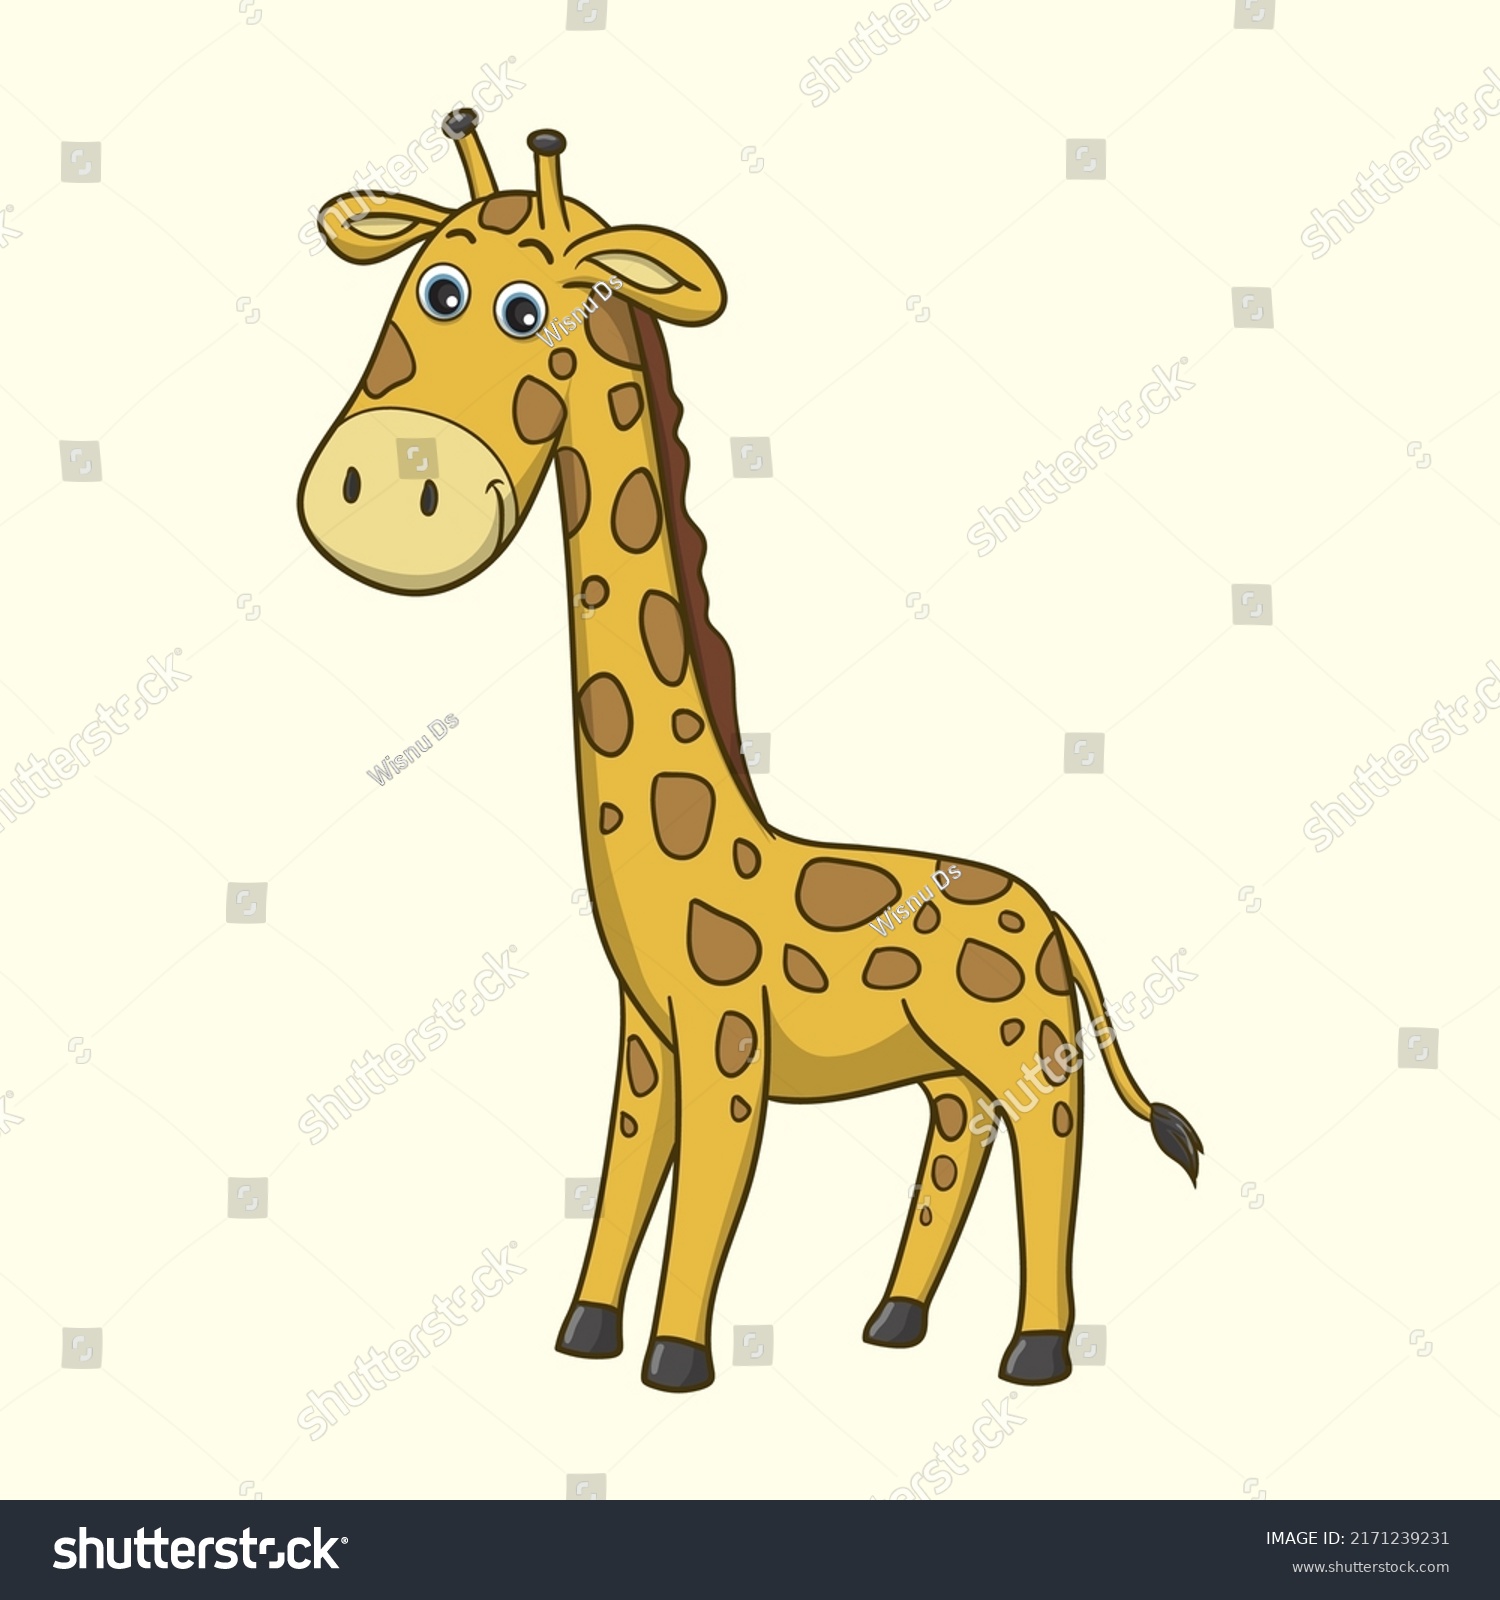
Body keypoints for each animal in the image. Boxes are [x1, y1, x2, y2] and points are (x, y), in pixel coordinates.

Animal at [298, 114, 1204, 1393]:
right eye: (428, 286)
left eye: (524, 309)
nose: (379, 491)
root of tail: (1054, 916)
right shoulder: (646, 1037)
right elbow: (628, 1170)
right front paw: (585, 1332)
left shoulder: (730, 1038)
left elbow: (712, 1193)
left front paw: (675, 1359)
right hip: (948, 1063)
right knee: (959, 1139)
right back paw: (894, 1321)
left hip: (1026, 1046)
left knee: (1052, 1141)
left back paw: (1034, 1350)